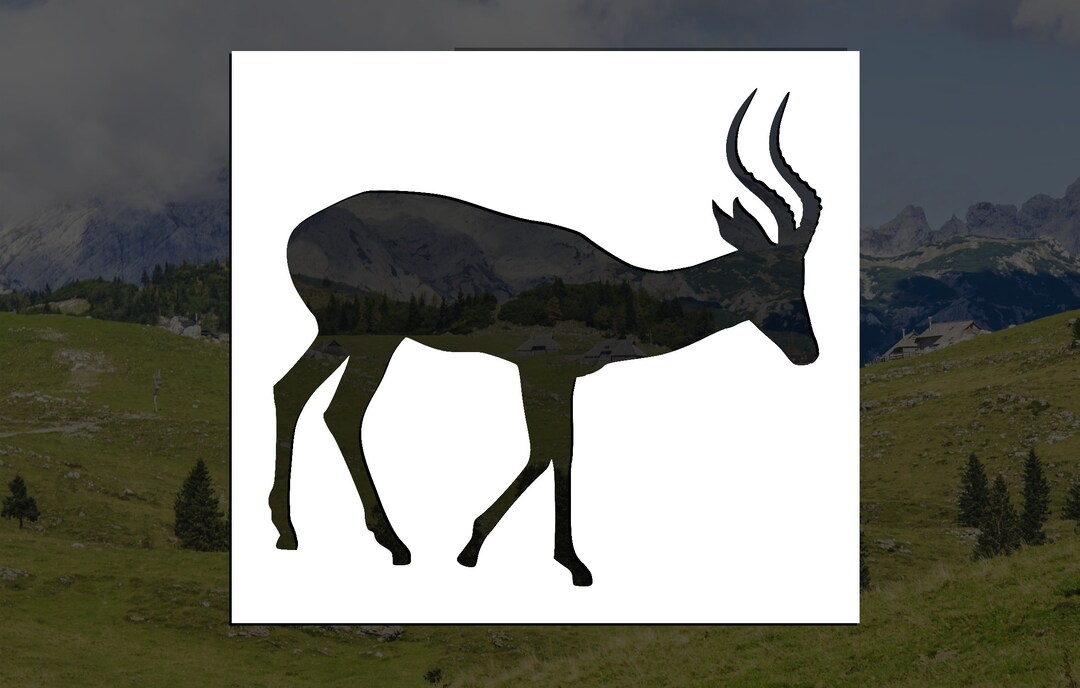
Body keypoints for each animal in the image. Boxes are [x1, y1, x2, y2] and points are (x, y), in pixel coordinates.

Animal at [270, 90, 821, 586]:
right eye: (771, 276)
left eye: (801, 275)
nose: (809, 351)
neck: (620, 286)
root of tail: (299, 232)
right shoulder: (538, 368)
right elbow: (544, 451)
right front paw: (492, 552)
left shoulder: (565, 377)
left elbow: (564, 451)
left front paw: (562, 561)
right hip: (374, 341)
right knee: (341, 414)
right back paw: (394, 545)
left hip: (338, 338)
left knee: (290, 393)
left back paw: (289, 533)